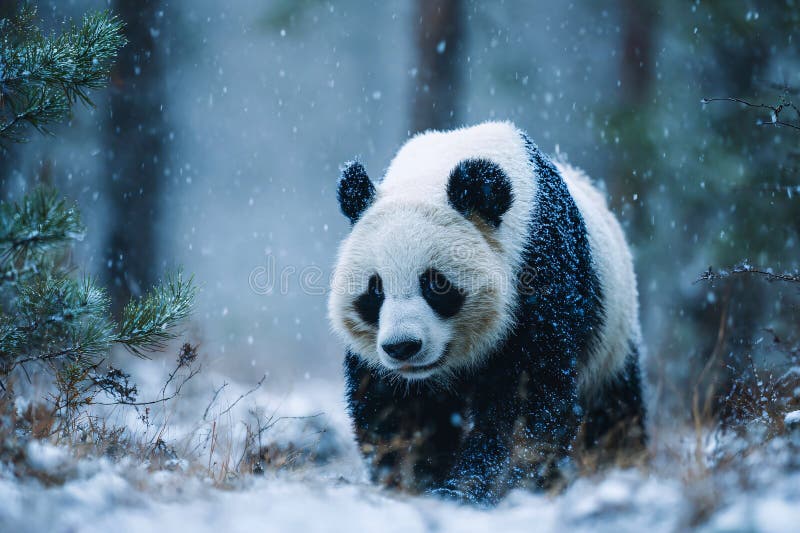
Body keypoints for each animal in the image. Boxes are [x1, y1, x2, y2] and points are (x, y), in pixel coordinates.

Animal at [328, 121, 645, 505]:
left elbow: (524, 400)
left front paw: (463, 488)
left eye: (436, 284)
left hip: (613, 338)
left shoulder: (540, 277)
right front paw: (412, 478)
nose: (403, 347)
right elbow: (394, 406)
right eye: (375, 290)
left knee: (614, 411)